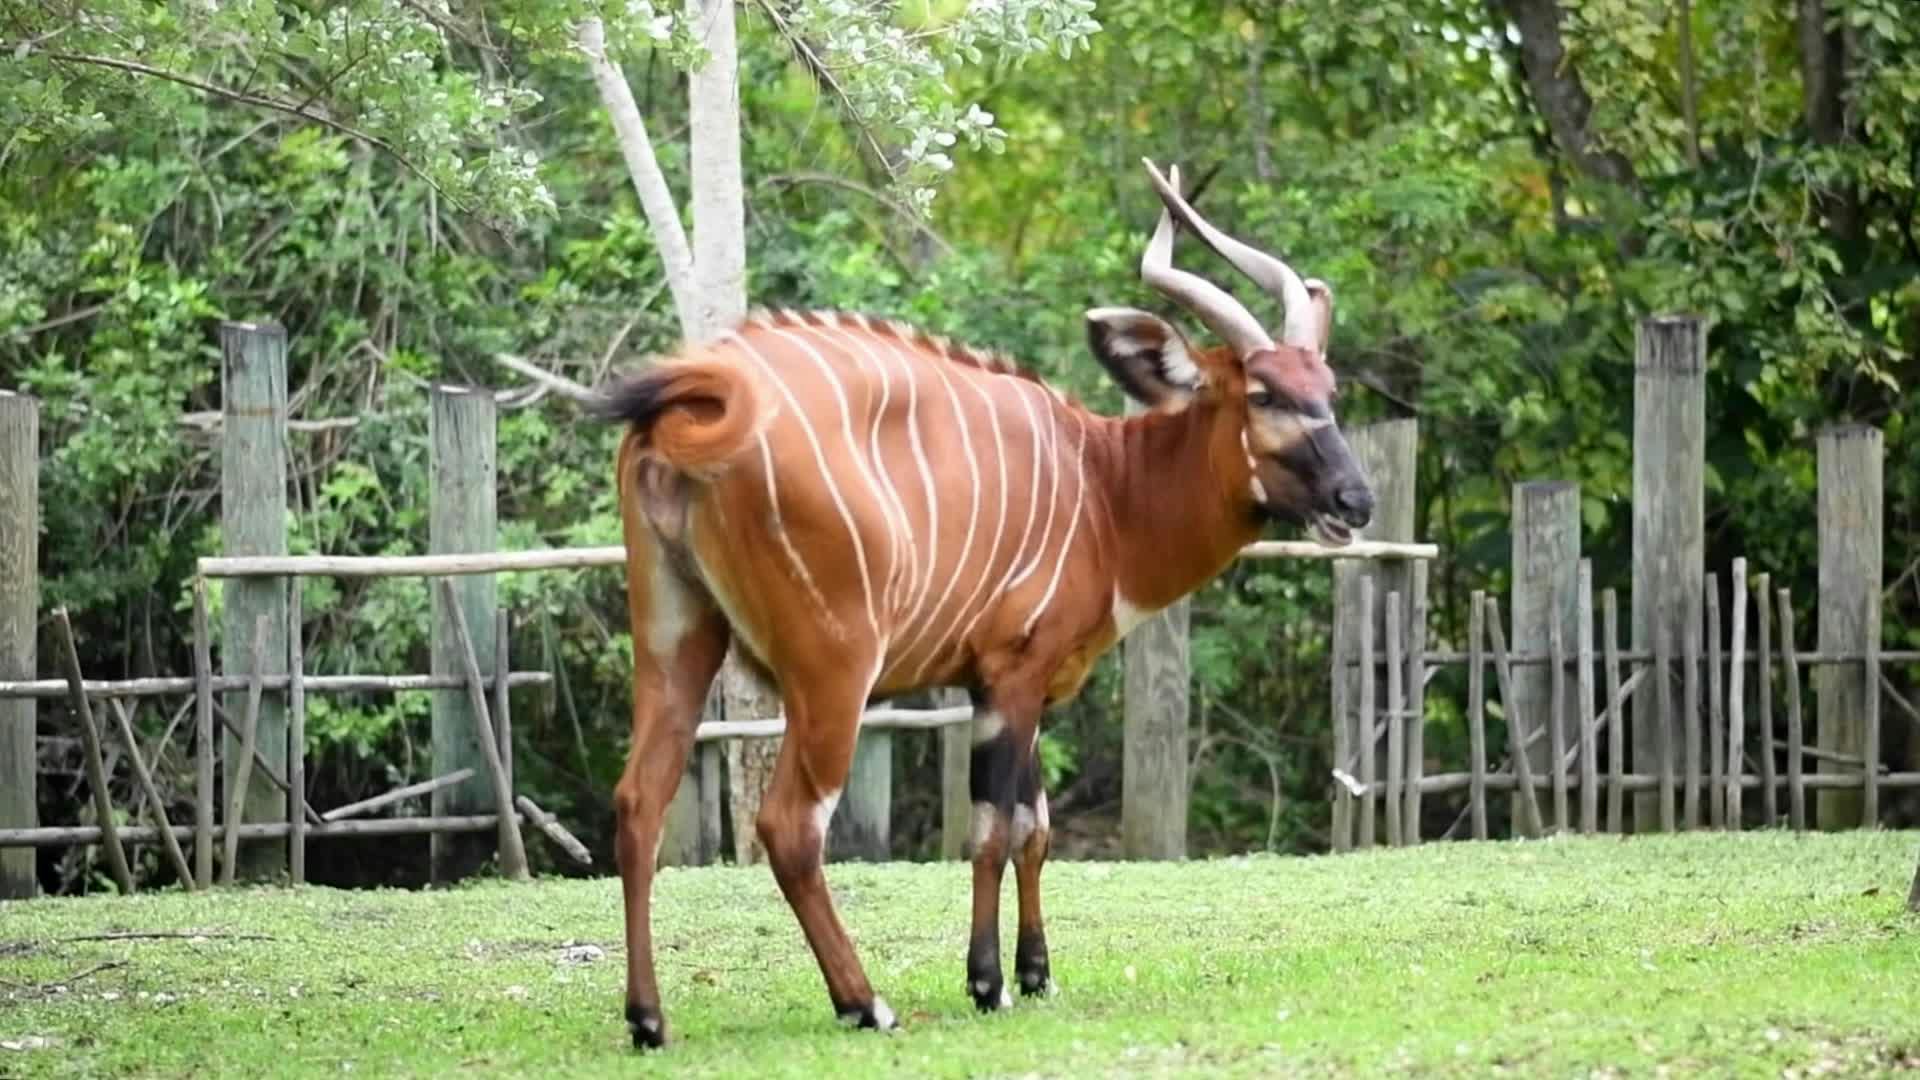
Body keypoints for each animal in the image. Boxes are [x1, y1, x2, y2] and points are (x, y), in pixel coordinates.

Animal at [591, 158, 1375, 1048]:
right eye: (1265, 395)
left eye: (1327, 387)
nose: (1356, 500)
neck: (1107, 490)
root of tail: (702, 395)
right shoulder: (1012, 674)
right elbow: (996, 831)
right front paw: (987, 981)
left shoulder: (1007, 686)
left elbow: (1036, 827)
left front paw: (1036, 973)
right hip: (834, 667)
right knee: (789, 824)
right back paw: (865, 1002)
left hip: (676, 637)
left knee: (638, 803)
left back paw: (649, 1019)